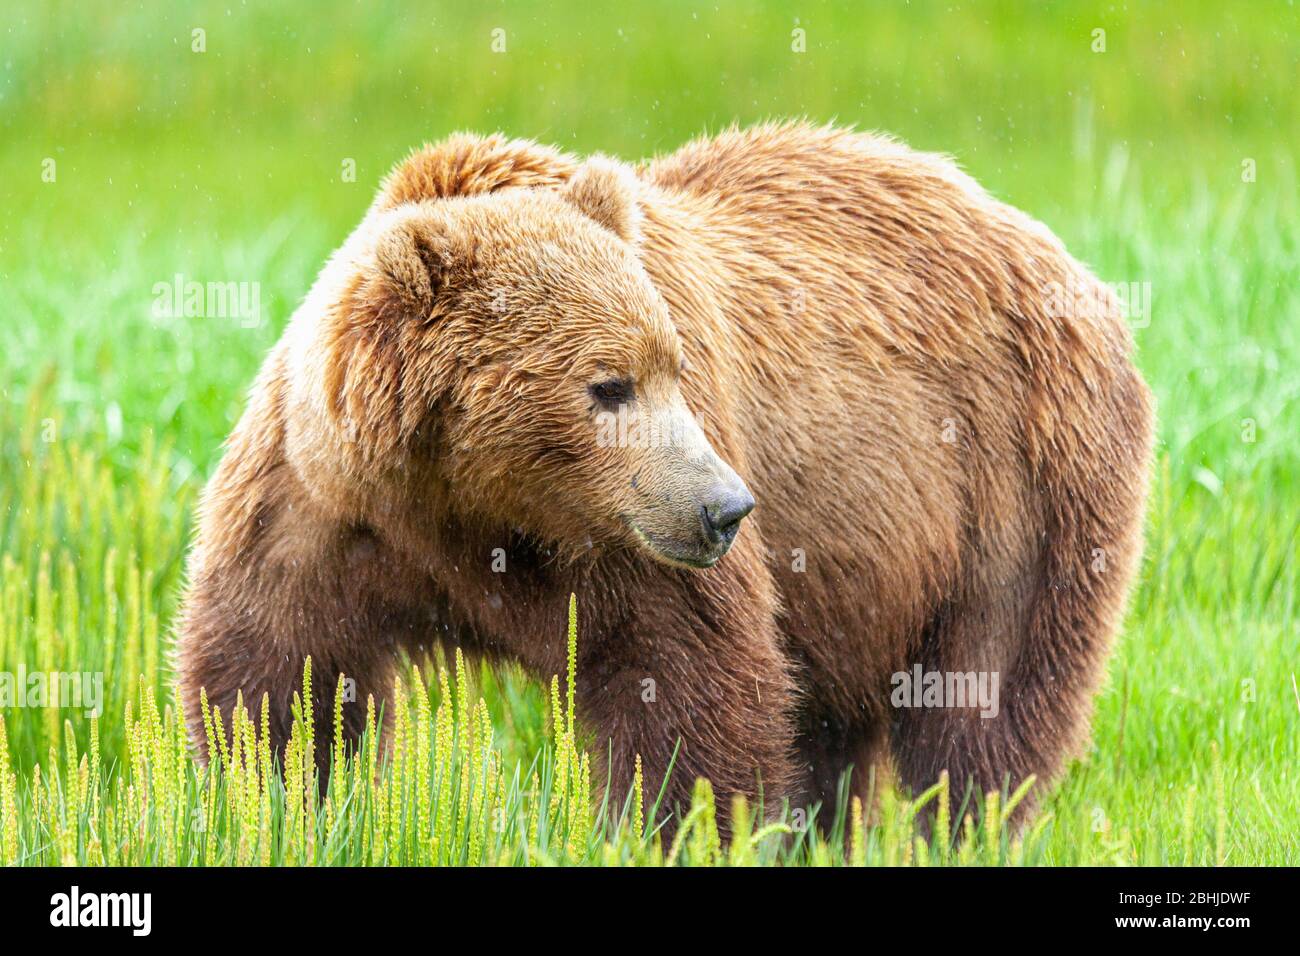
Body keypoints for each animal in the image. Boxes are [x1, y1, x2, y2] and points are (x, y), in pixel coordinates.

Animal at [175, 122, 1153, 833]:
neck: (473, 506)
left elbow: (689, 696)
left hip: (1015, 484)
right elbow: (276, 672)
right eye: (608, 385)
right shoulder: (325, 505)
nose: (727, 508)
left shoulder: (635, 545)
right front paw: (273, 803)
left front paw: (670, 830)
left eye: (673, 370)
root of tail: (1058, 257)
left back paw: (968, 824)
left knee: (984, 705)